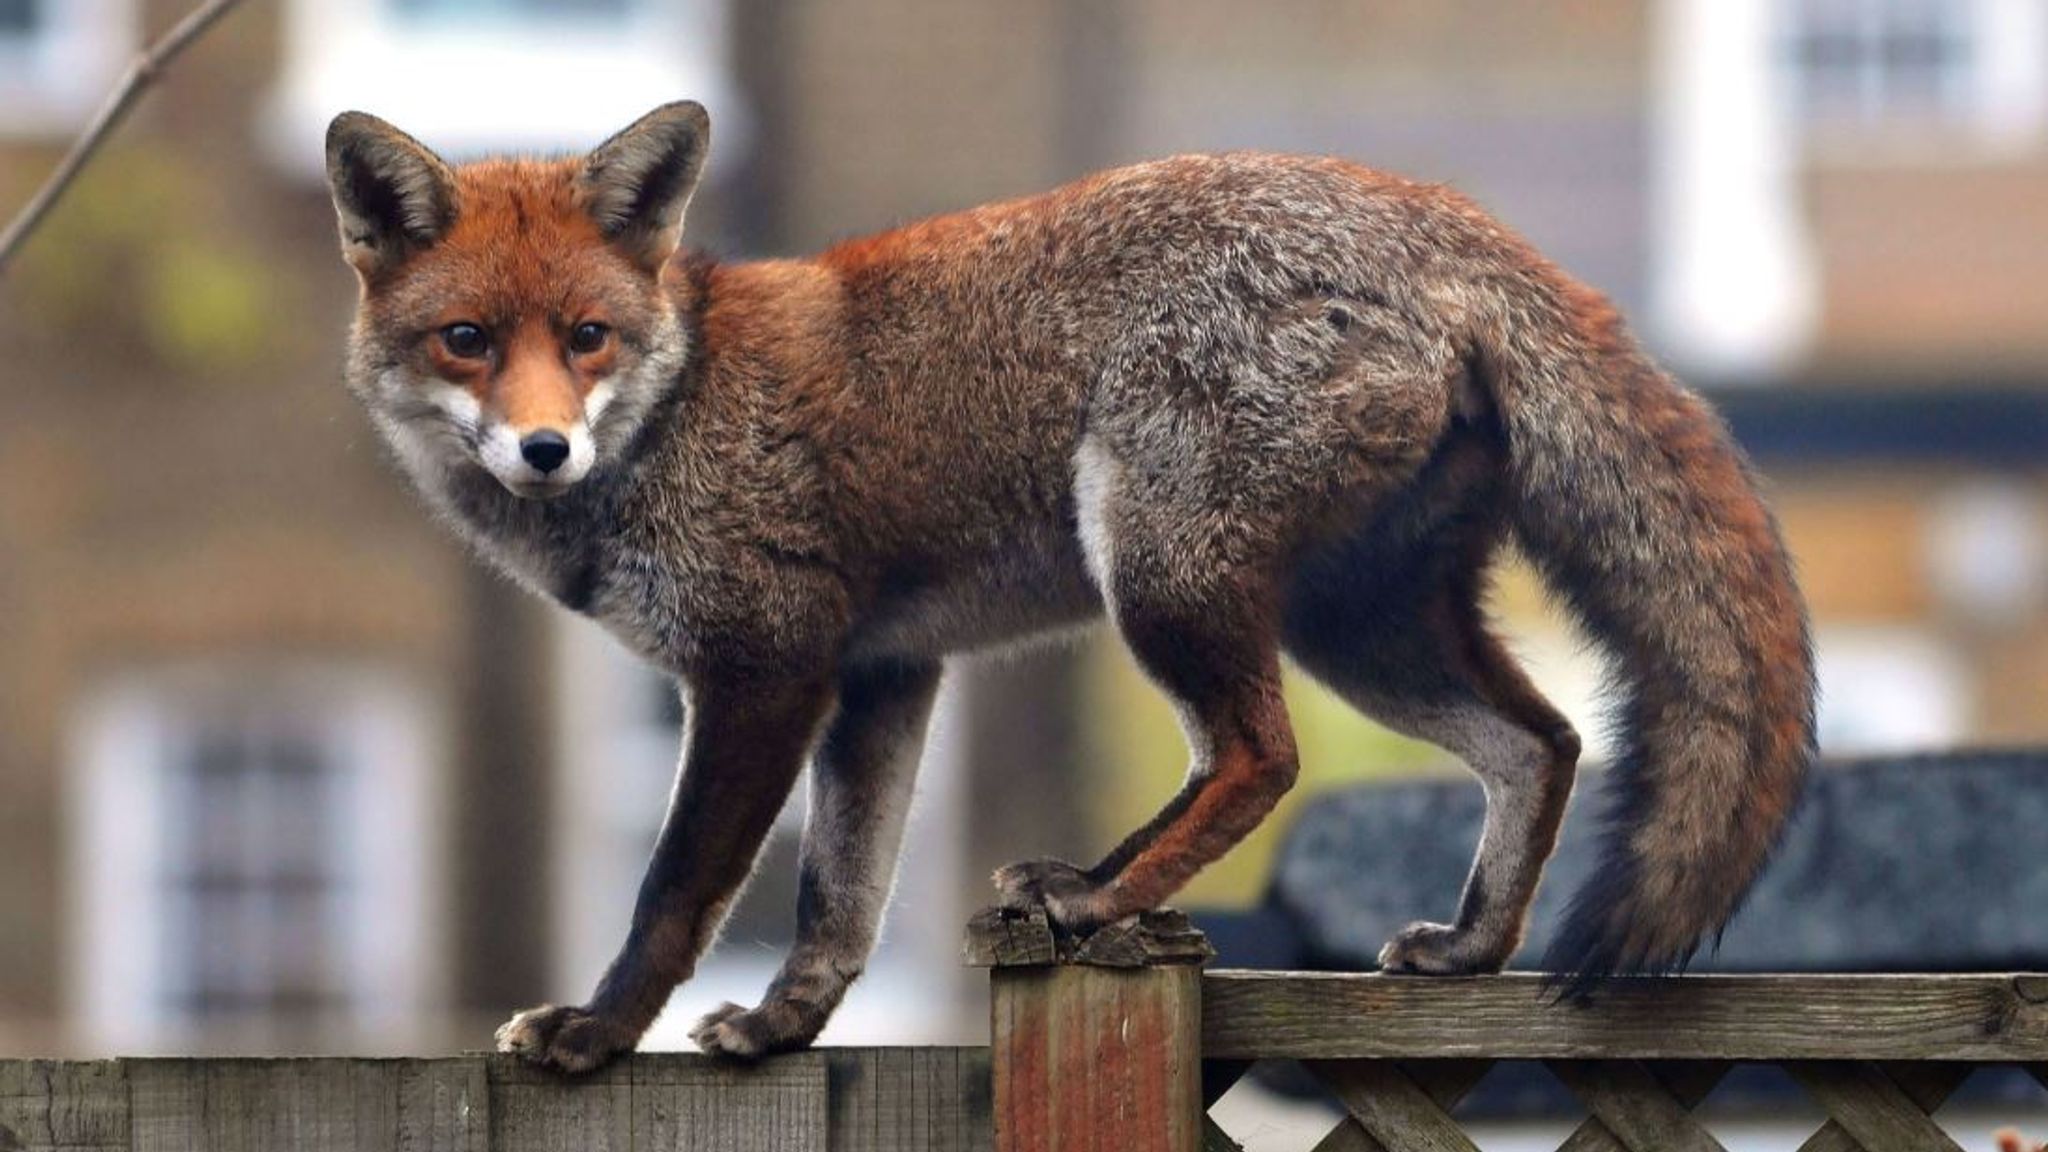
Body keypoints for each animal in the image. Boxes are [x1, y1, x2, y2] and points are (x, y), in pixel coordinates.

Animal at [323, 101, 1816, 1073]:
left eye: (585, 338)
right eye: (468, 341)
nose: (543, 447)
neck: (681, 409)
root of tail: (1441, 216)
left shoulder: (767, 665)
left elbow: (676, 890)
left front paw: (596, 1035)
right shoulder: (882, 674)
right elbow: (837, 901)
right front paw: (785, 1028)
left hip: (1161, 566)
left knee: (1261, 759)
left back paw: (1099, 905)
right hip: (1354, 625)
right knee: (1540, 743)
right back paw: (1463, 947)